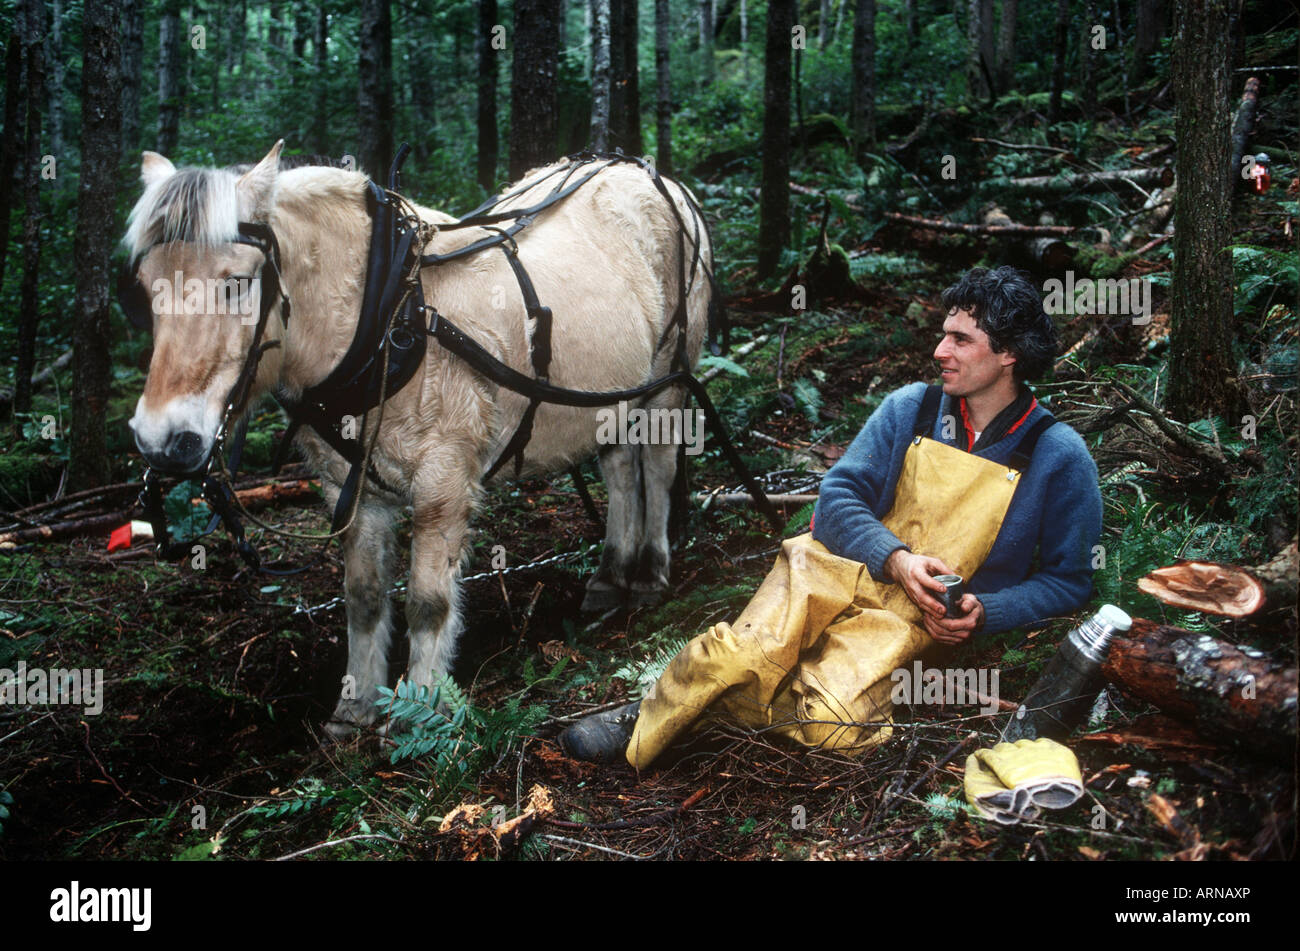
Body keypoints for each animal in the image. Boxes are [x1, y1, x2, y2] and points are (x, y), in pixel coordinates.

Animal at [122, 140, 712, 738]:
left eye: (238, 282)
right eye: (146, 288)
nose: (160, 438)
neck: (388, 316)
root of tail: (643, 170)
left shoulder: (443, 480)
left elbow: (427, 603)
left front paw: (420, 711)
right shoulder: (351, 488)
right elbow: (363, 599)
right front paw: (355, 707)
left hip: (666, 384)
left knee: (657, 466)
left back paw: (650, 574)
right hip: (610, 399)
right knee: (619, 472)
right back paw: (612, 574)